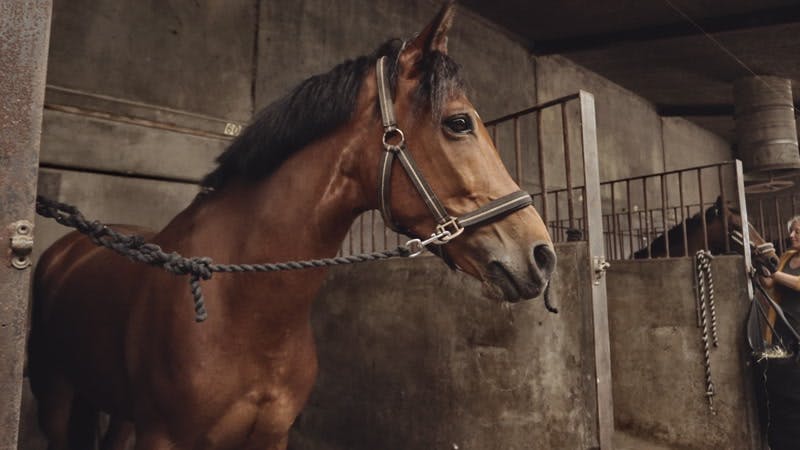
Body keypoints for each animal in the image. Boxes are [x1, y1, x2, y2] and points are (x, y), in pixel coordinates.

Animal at [27, 3, 555, 450]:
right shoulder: (164, 437)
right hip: (55, 395)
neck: (246, 311)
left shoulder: (269, 437)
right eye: (459, 123)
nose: (542, 254)